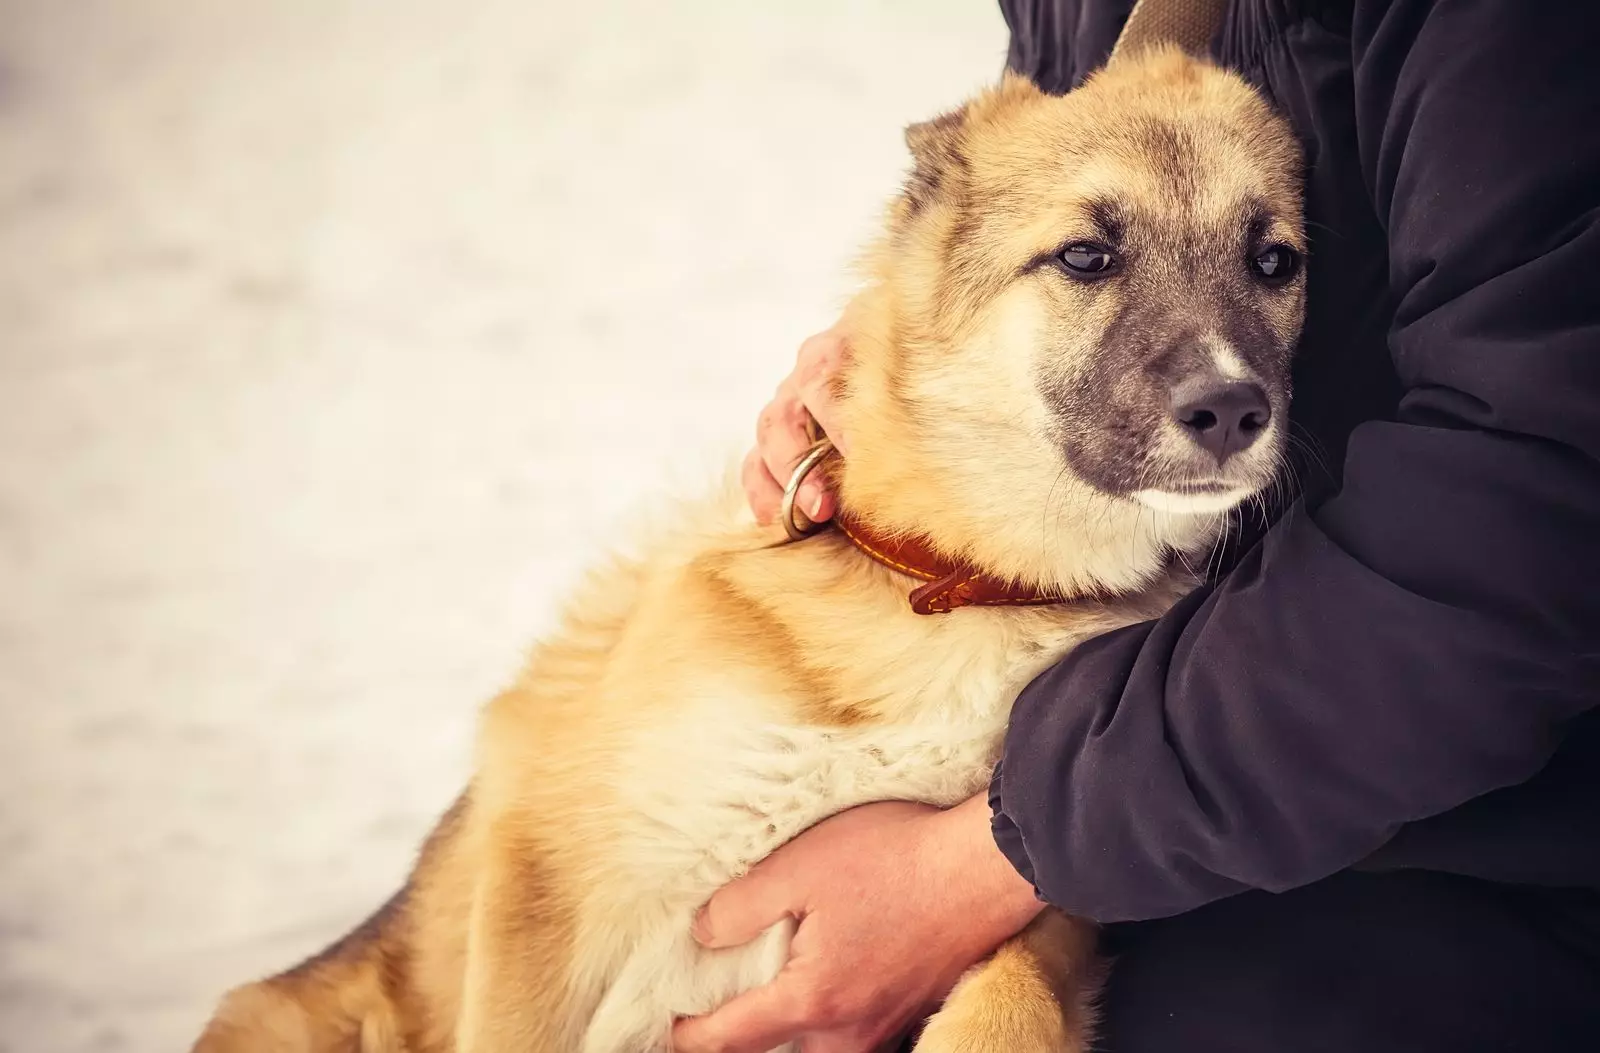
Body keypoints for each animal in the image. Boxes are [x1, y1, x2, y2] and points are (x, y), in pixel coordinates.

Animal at [193, 47, 1305, 1049]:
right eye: (1085, 256)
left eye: (1273, 262)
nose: (1231, 409)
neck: (959, 593)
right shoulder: (541, 881)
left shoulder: (1021, 891)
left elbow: (1007, 1004)